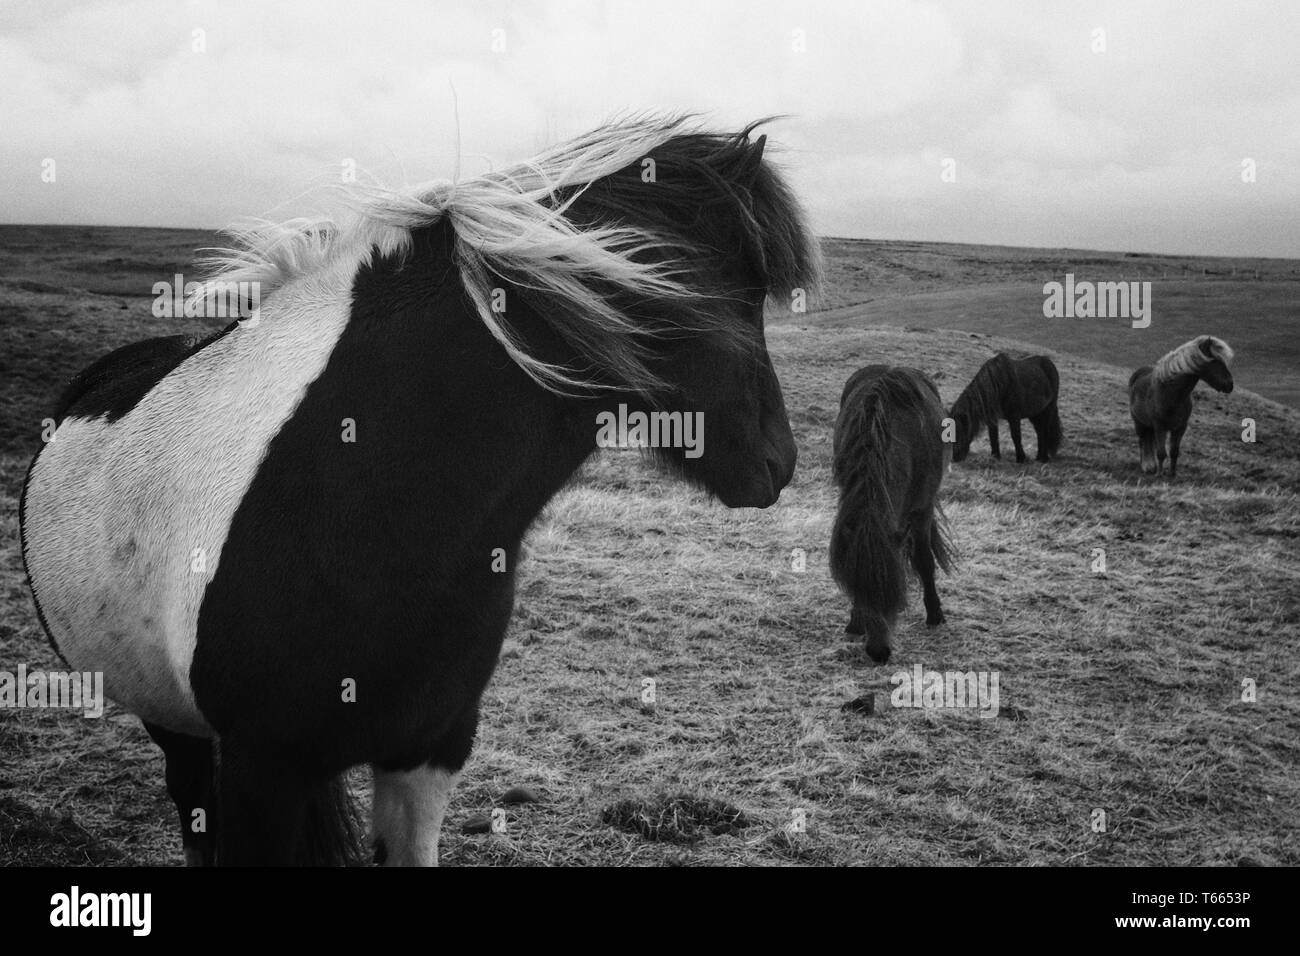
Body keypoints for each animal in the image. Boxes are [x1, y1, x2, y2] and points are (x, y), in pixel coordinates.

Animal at [830, 365, 952, 665]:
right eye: (856, 588)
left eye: (895, 595)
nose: (878, 652)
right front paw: (855, 622)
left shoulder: (922, 510)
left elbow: (923, 561)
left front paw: (935, 615)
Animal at [1128, 334, 1234, 477]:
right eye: (1215, 361)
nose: (1230, 384)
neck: (1172, 394)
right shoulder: (1160, 427)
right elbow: (1161, 453)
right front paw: (1159, 475)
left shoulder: (1180, 427)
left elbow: (1174, 452)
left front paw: (1172, 474)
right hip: (1139, 423)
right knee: (1142, 442)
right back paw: (1145, 466)